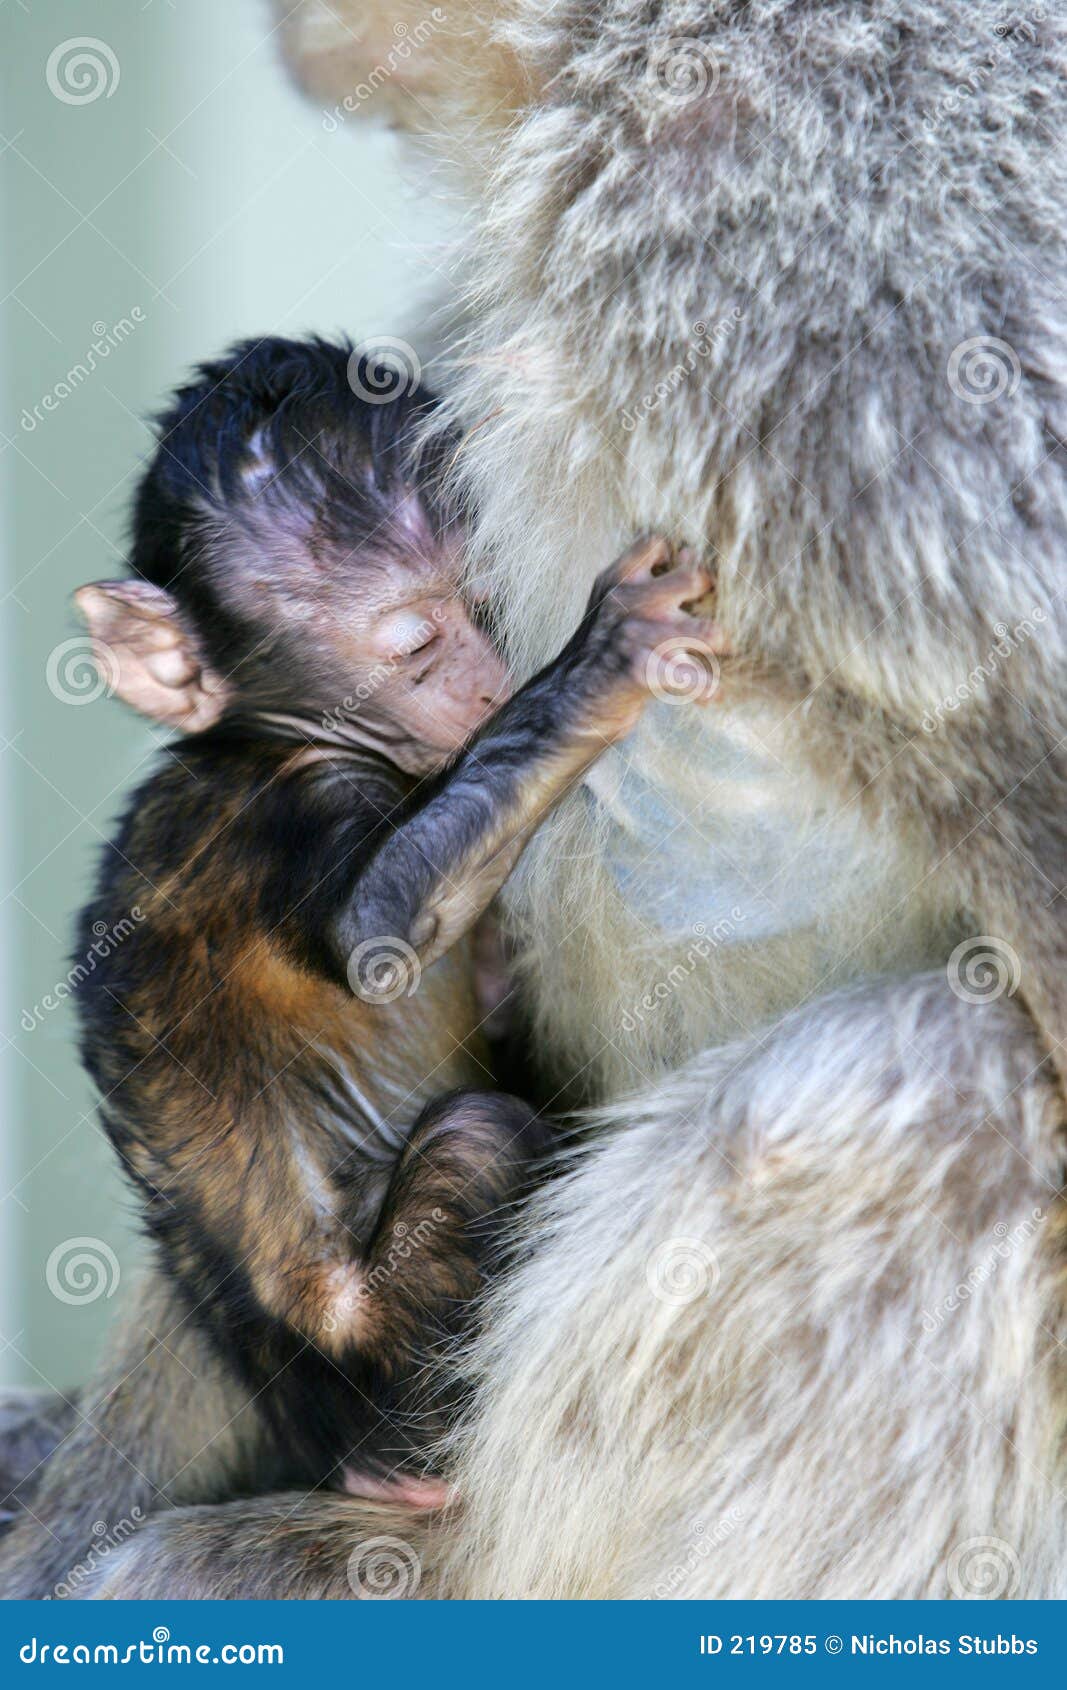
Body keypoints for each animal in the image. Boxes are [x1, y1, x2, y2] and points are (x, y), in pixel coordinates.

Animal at [0, 335, 720, 1597]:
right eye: (417, 646)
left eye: (489, 607)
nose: (490, 685)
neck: (271, 738)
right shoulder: (294, 814)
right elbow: (376, 930)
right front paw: (603, 662)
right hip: (384, 1349)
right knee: (476, 1140)